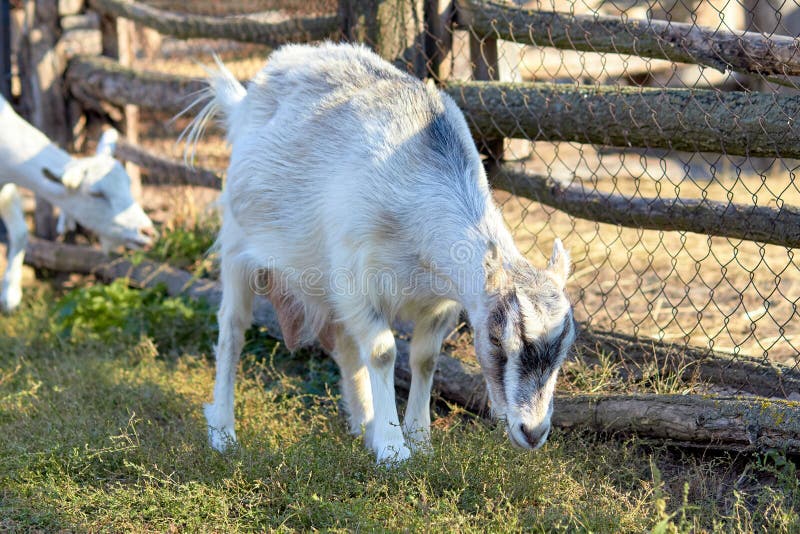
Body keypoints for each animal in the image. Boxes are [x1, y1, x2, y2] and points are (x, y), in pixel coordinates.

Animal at [0, 95, 155, 312]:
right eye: (96, 194)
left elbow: (20, 233)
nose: (148, 232)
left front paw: (10, 296)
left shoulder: (5, 187)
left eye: (128, 183)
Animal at [186, 43, 576, 463]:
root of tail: (245, 98)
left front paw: (418, 440)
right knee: (233, 328)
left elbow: (424, 357)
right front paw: (392, 449)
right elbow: (383, 352)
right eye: (496, 340)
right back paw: (223, 431)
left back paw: (364, 424)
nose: (532, 432)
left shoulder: (440, 300)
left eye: (564, 350)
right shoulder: (359, 281)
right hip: (238, 246)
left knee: (343, 345)